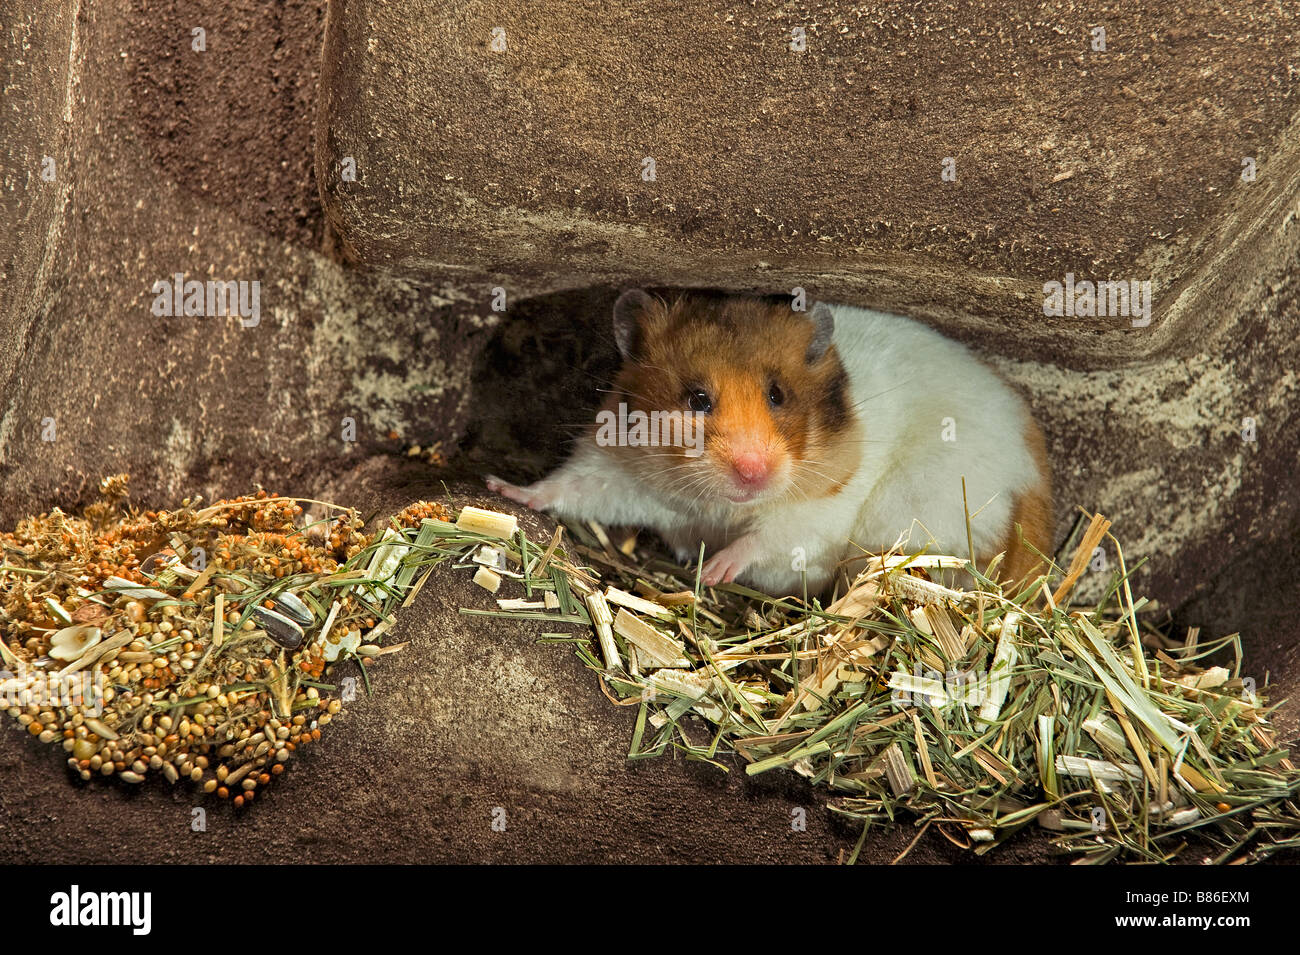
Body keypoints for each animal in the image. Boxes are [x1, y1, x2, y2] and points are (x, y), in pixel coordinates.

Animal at [486, 290, 1052, 596]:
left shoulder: (821, 513)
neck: (716, 506)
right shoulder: (617, 468)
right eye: (696, 398)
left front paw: (712, 572)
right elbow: (566, 487)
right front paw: (500, 488)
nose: (753, 473)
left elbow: (768, 538)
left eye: (778, 395)